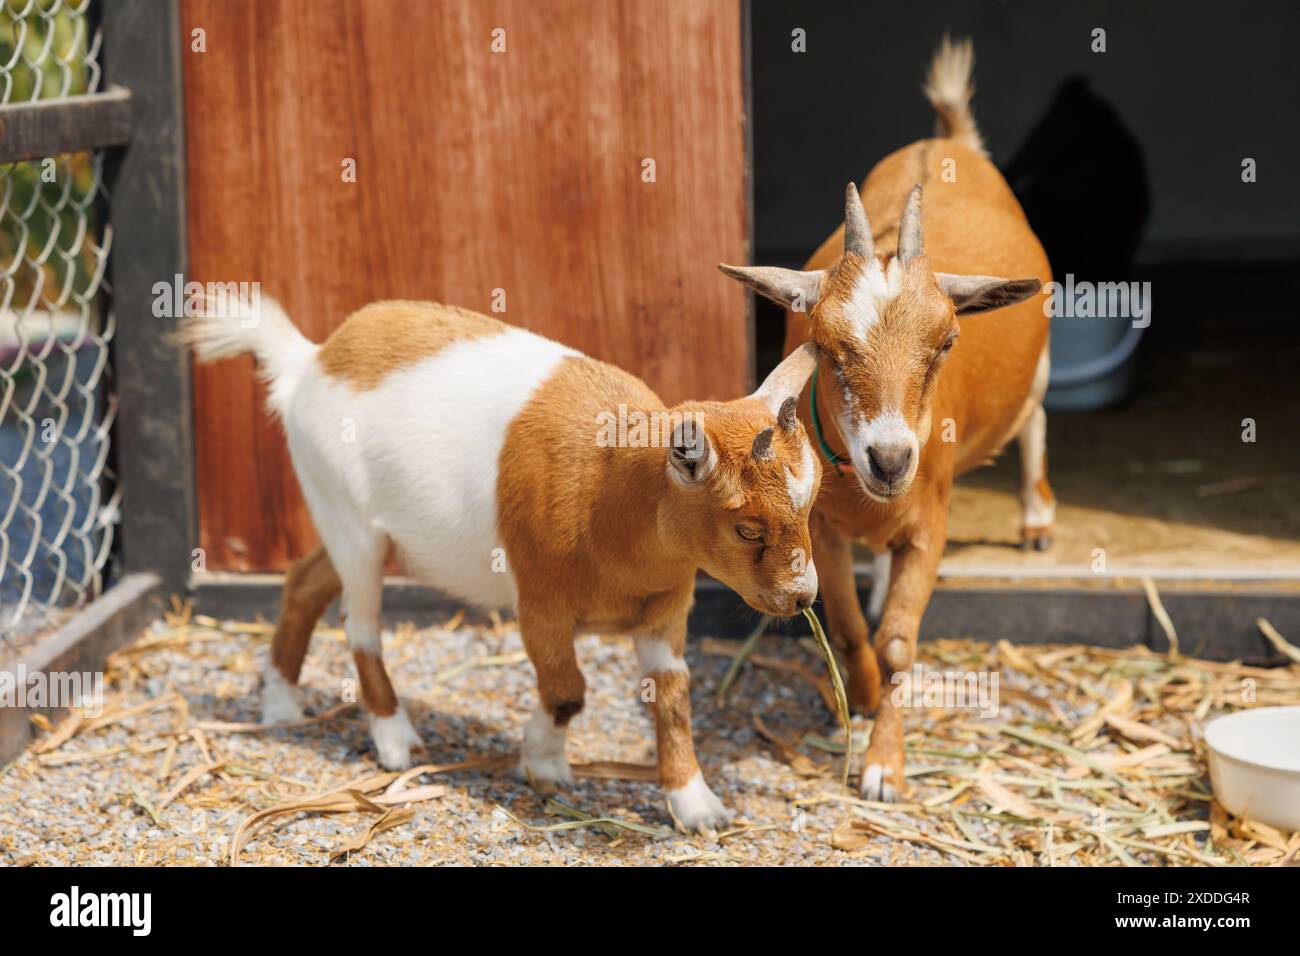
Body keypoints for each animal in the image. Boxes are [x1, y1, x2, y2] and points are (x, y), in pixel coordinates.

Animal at [180, 298, 821, 830]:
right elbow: (566, 691)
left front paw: (696, 806)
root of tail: (310, 362)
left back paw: (279, 702)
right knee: (359, 623)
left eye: (811, 505)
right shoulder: (539, 603)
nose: (803, 598)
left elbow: (673, 698)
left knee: (305, 579)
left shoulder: (664, 612)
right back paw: (395, 739)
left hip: (352, 524)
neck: (607, 491)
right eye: (747, 528)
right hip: (350, 519)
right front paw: (541, 762)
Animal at [719, 37, 1052, 800]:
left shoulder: (930, 523)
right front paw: (863, 697)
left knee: (1037, 415)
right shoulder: (819, 526)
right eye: (825, 342)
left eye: (948, 342)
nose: (892, 459)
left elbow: (900, 641)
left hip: (1041, 372)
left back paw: (1037, 521)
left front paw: (883, 767)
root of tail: (947, 140)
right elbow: (845, 630)